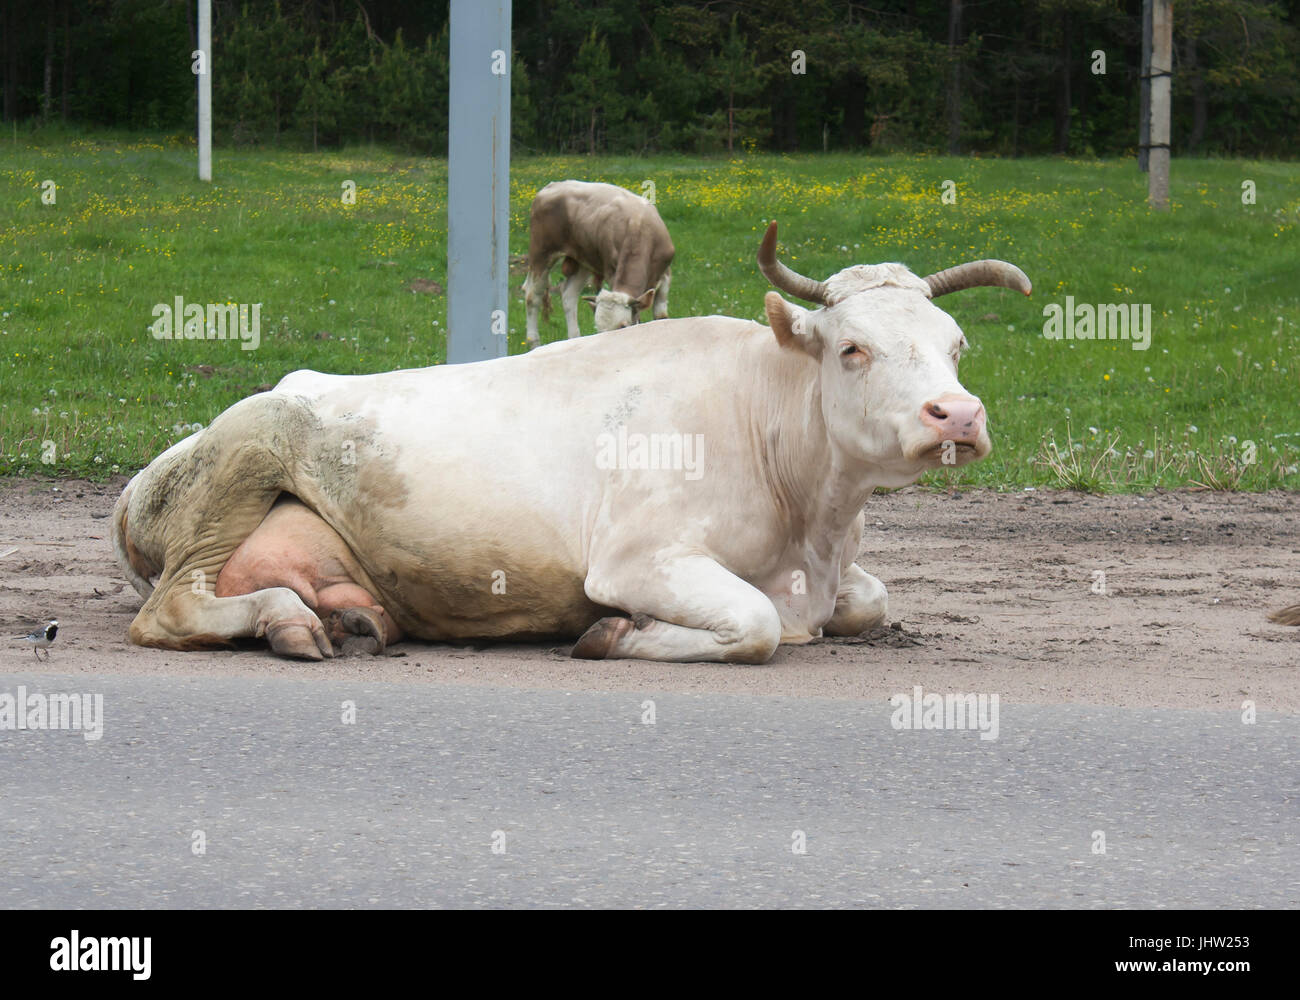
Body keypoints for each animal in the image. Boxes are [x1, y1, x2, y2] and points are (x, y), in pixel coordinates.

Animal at [113, 222, 1030, 664]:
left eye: (956, 346)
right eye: (852, 348)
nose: (957, 415)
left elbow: (872, 600)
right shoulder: (636, 558)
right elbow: (758, 623)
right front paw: (614, 634)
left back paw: (338, 622)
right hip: (245, 454)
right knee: (171, 611)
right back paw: (287, 623)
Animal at [523, 180, 674, 348]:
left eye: (623, 326)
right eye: (598, 330)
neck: (638, 226)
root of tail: (553, 185)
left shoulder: (665, 275)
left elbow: (661, 317)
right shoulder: (611, 272)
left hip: (582, 259)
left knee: (569, 295)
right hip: (541, 253)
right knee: (532, 295)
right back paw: (534, 343)